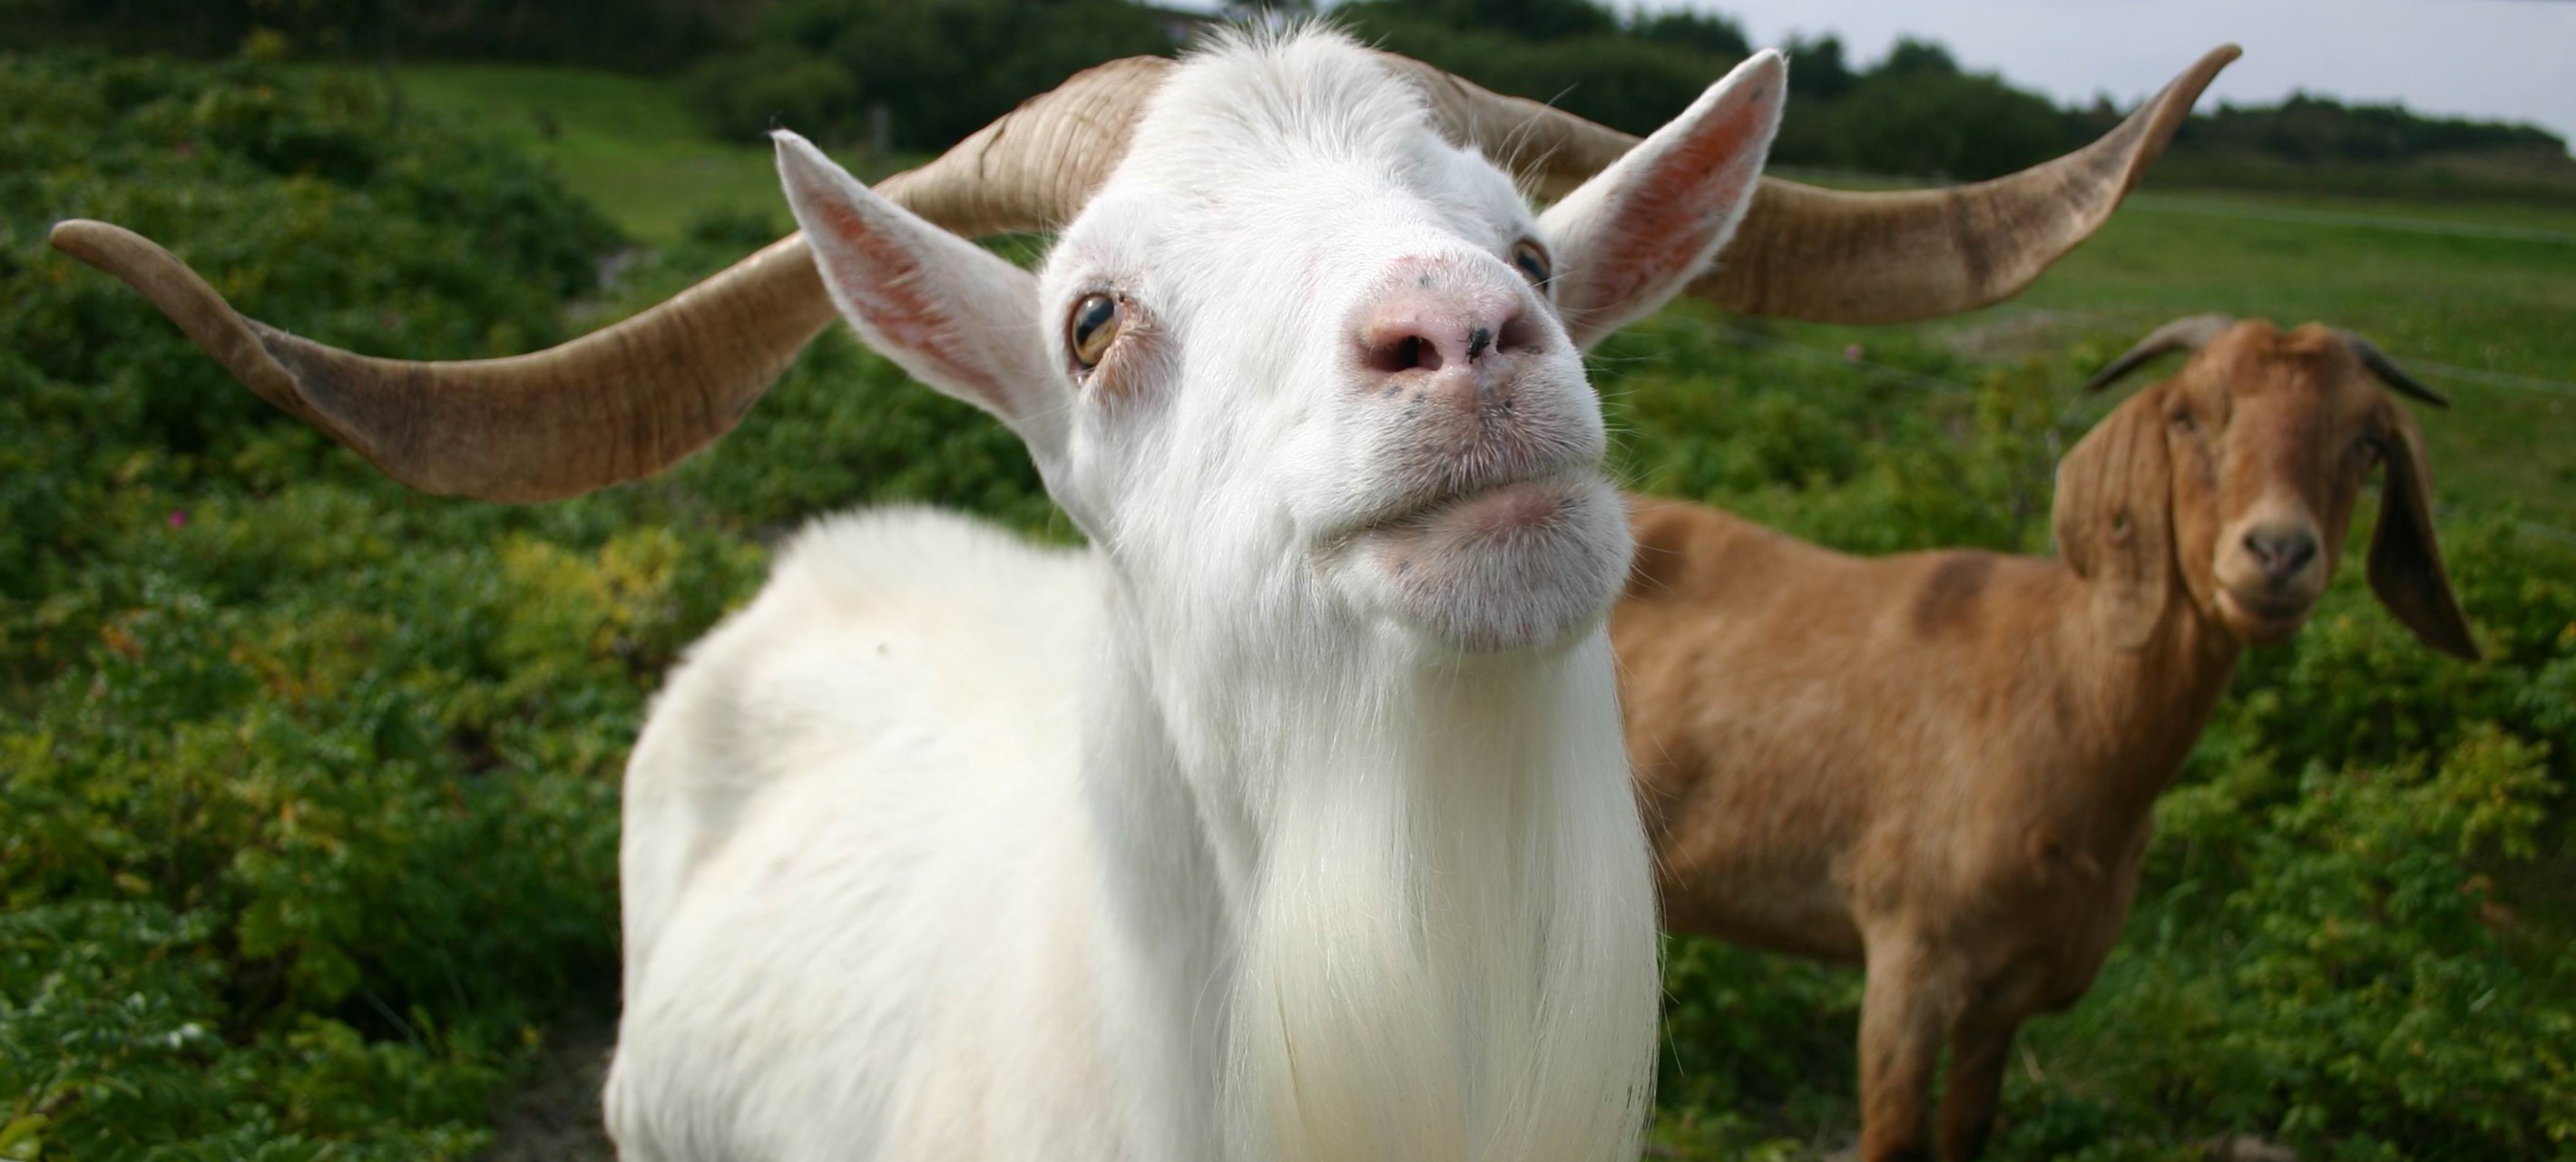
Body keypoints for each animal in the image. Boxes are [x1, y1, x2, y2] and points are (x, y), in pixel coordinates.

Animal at [1613, 316, 2480, 1162]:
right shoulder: (1908, 955)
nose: (2276, 552)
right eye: (2186, 415)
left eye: (2366, 441)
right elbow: (1894, 1137)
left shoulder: (2010, 988)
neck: (2065, 694)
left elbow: (1966, 1127)